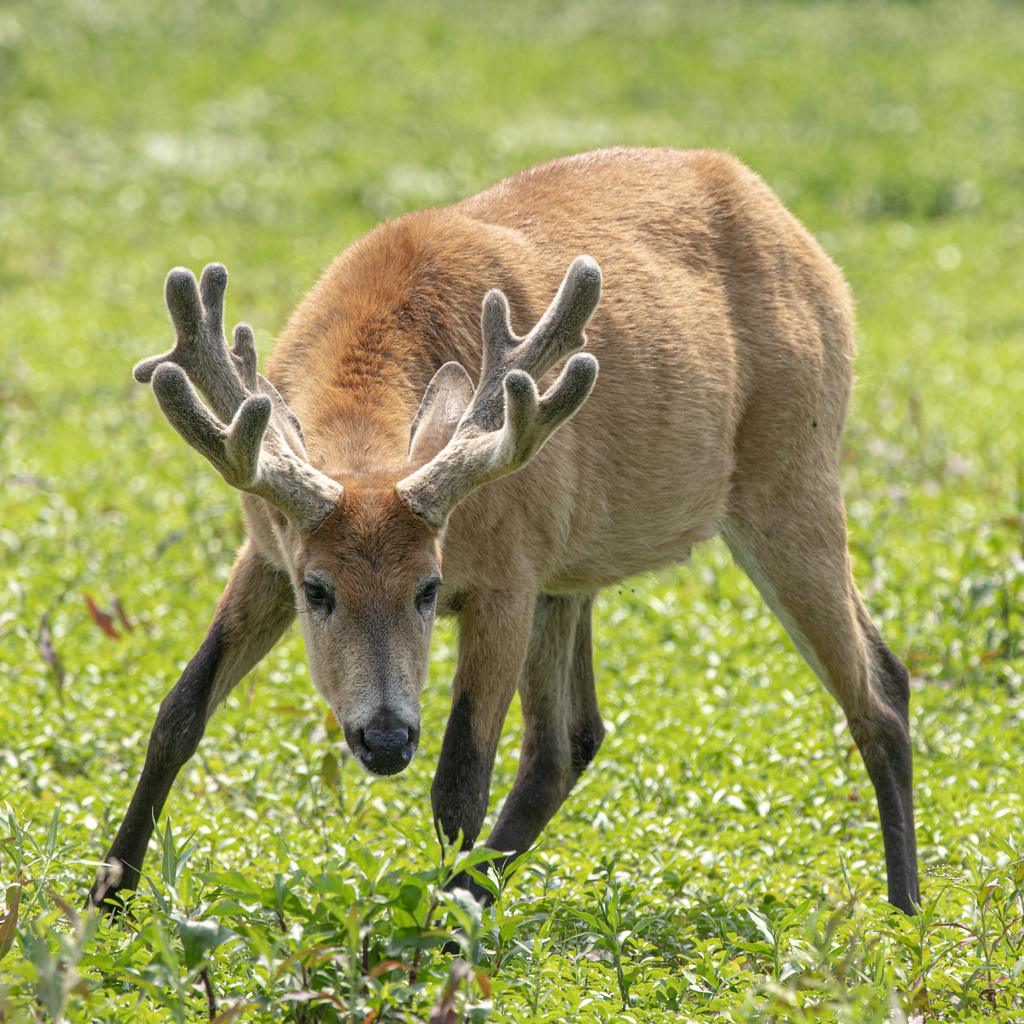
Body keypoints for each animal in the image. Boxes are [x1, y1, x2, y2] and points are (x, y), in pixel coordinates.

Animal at [88, 146, 919, 916]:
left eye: (427, 589)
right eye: (316, 590)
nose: (385, 738)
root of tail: (808, 248)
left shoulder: (507, 579)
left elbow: (459, 780)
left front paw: (428, 941)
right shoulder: (265, 551)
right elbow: (178, 712)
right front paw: (106, 898)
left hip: (791, 471)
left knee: (874, 695)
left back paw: (906, 911)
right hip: (579, 562)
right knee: (572, 740)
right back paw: (473, 895)